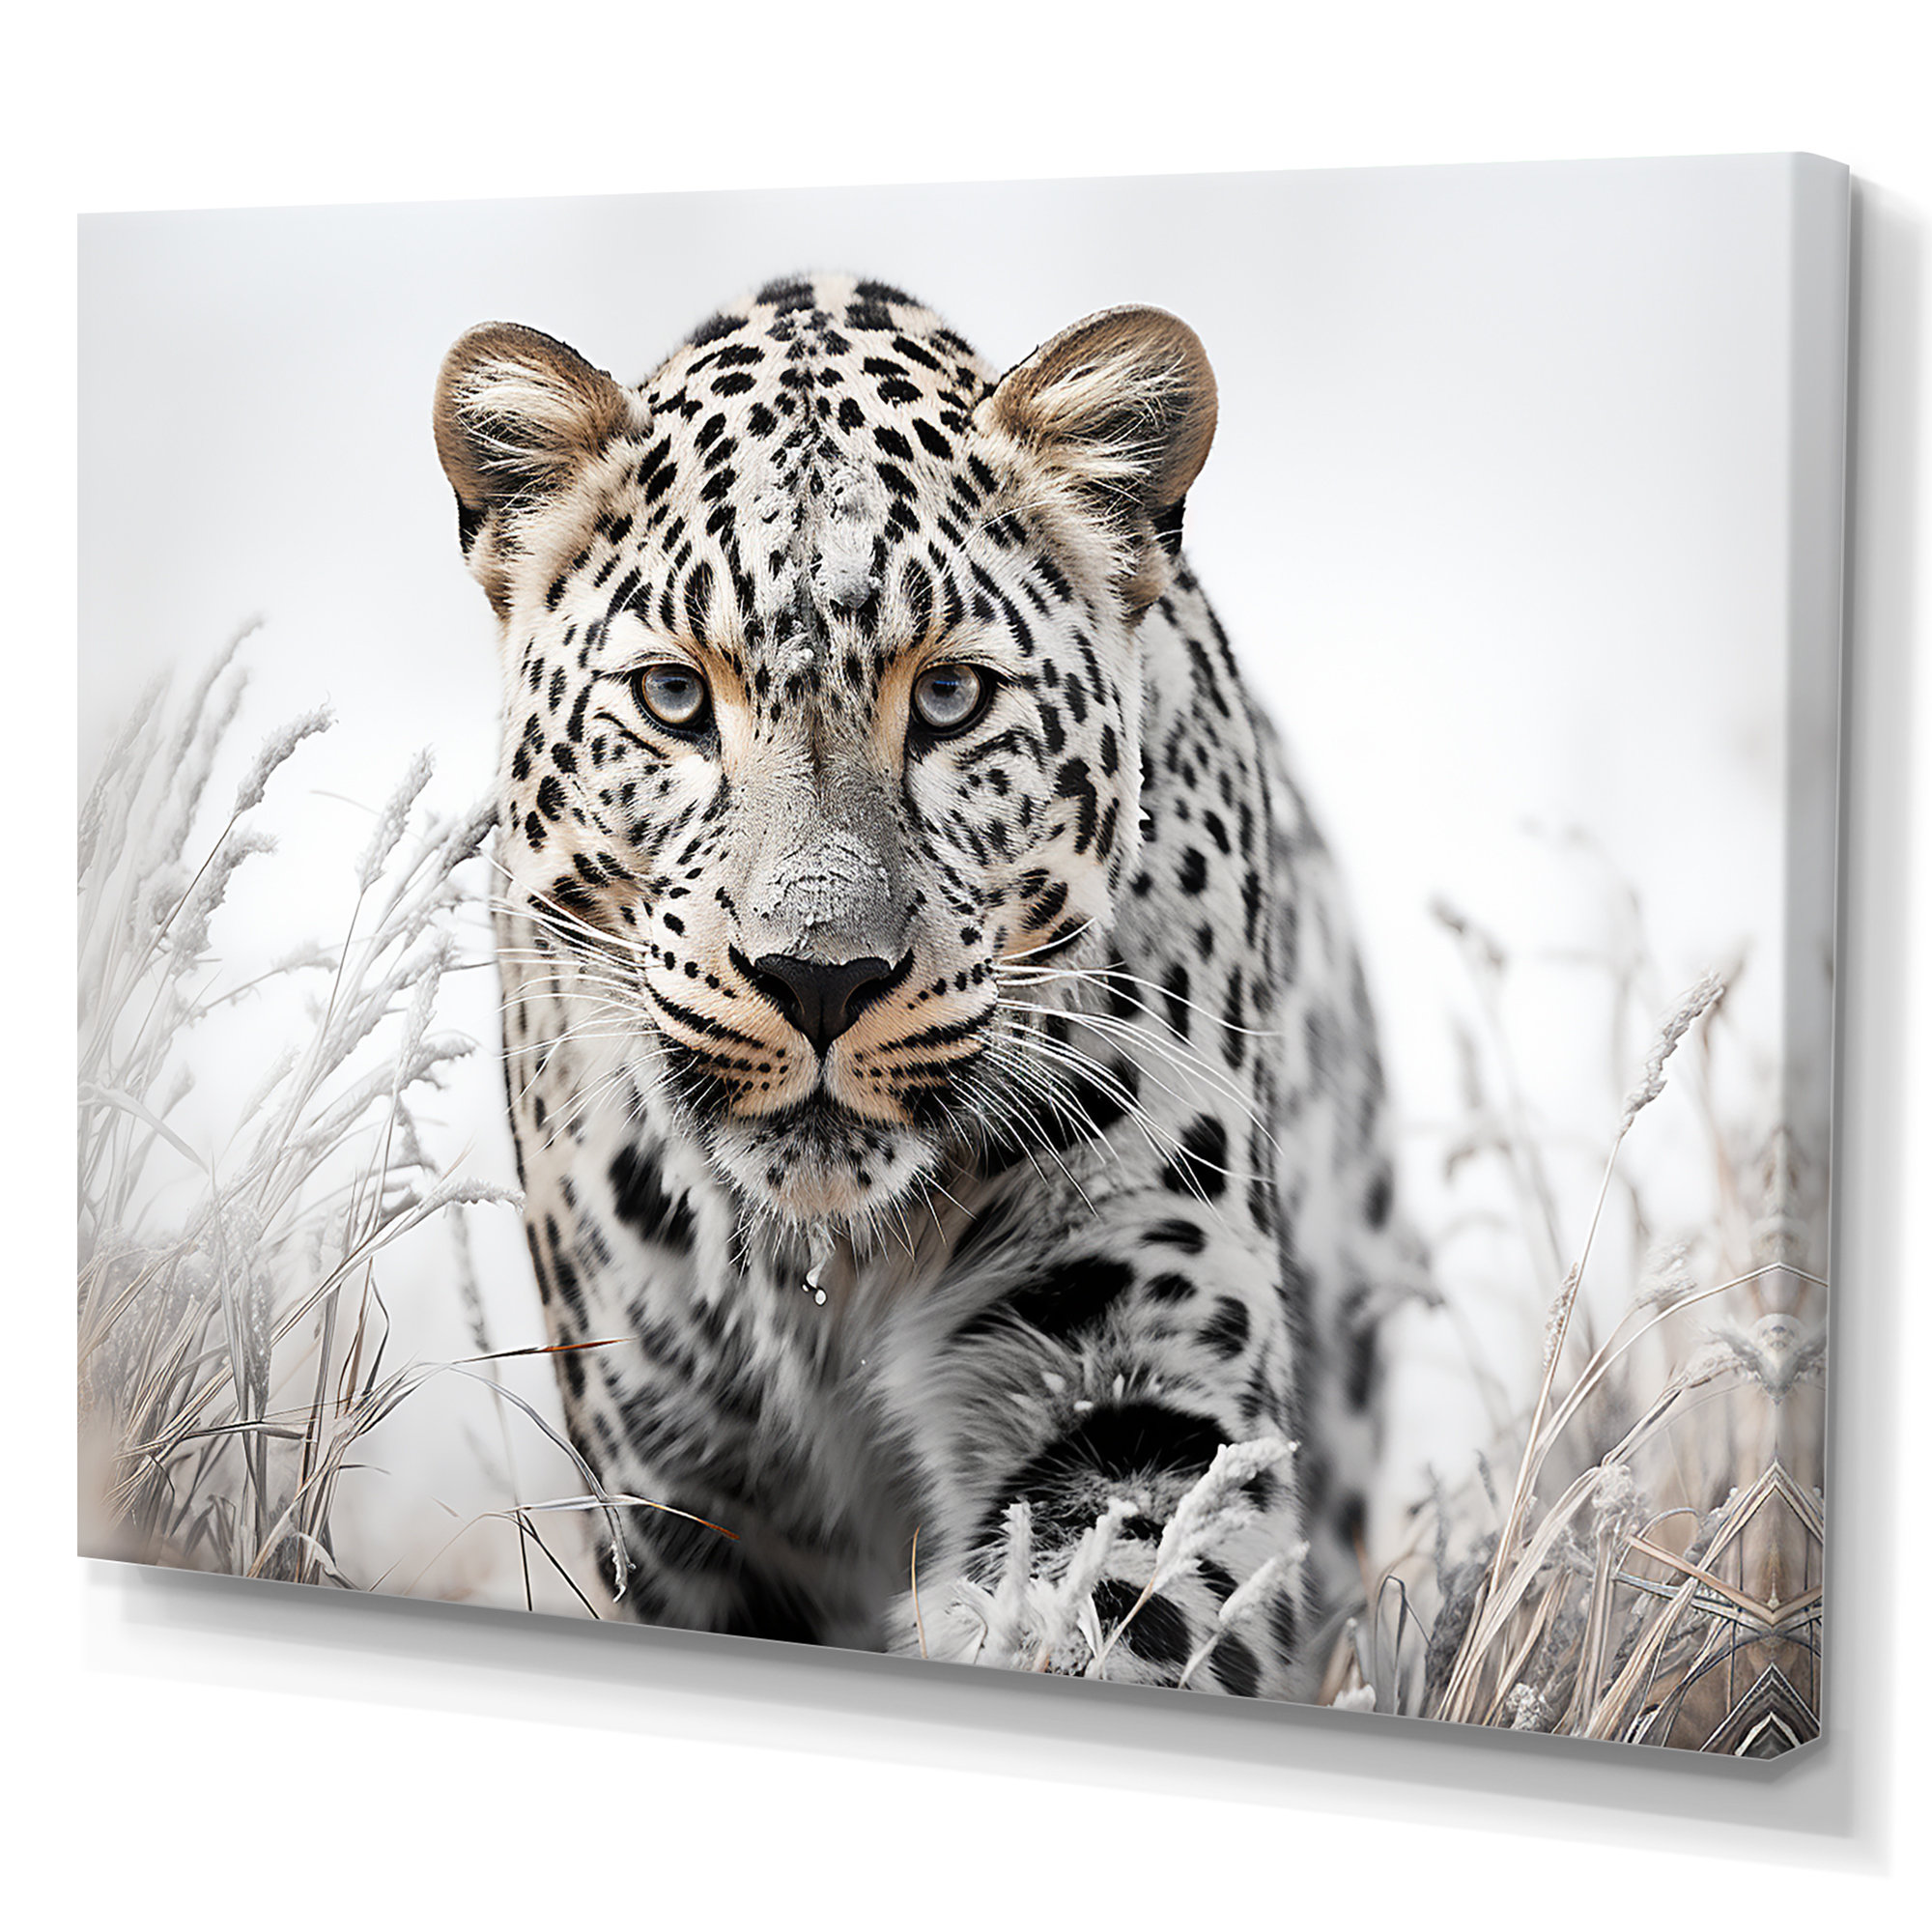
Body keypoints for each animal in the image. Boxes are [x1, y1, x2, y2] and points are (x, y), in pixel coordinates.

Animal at [433, 273, 1422, 1697]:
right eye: (674, 697)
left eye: (949, 696)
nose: (819, 977)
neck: (826, 1272)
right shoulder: (680, 1480)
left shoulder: (1141, 1358)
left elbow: (1116, 1601)